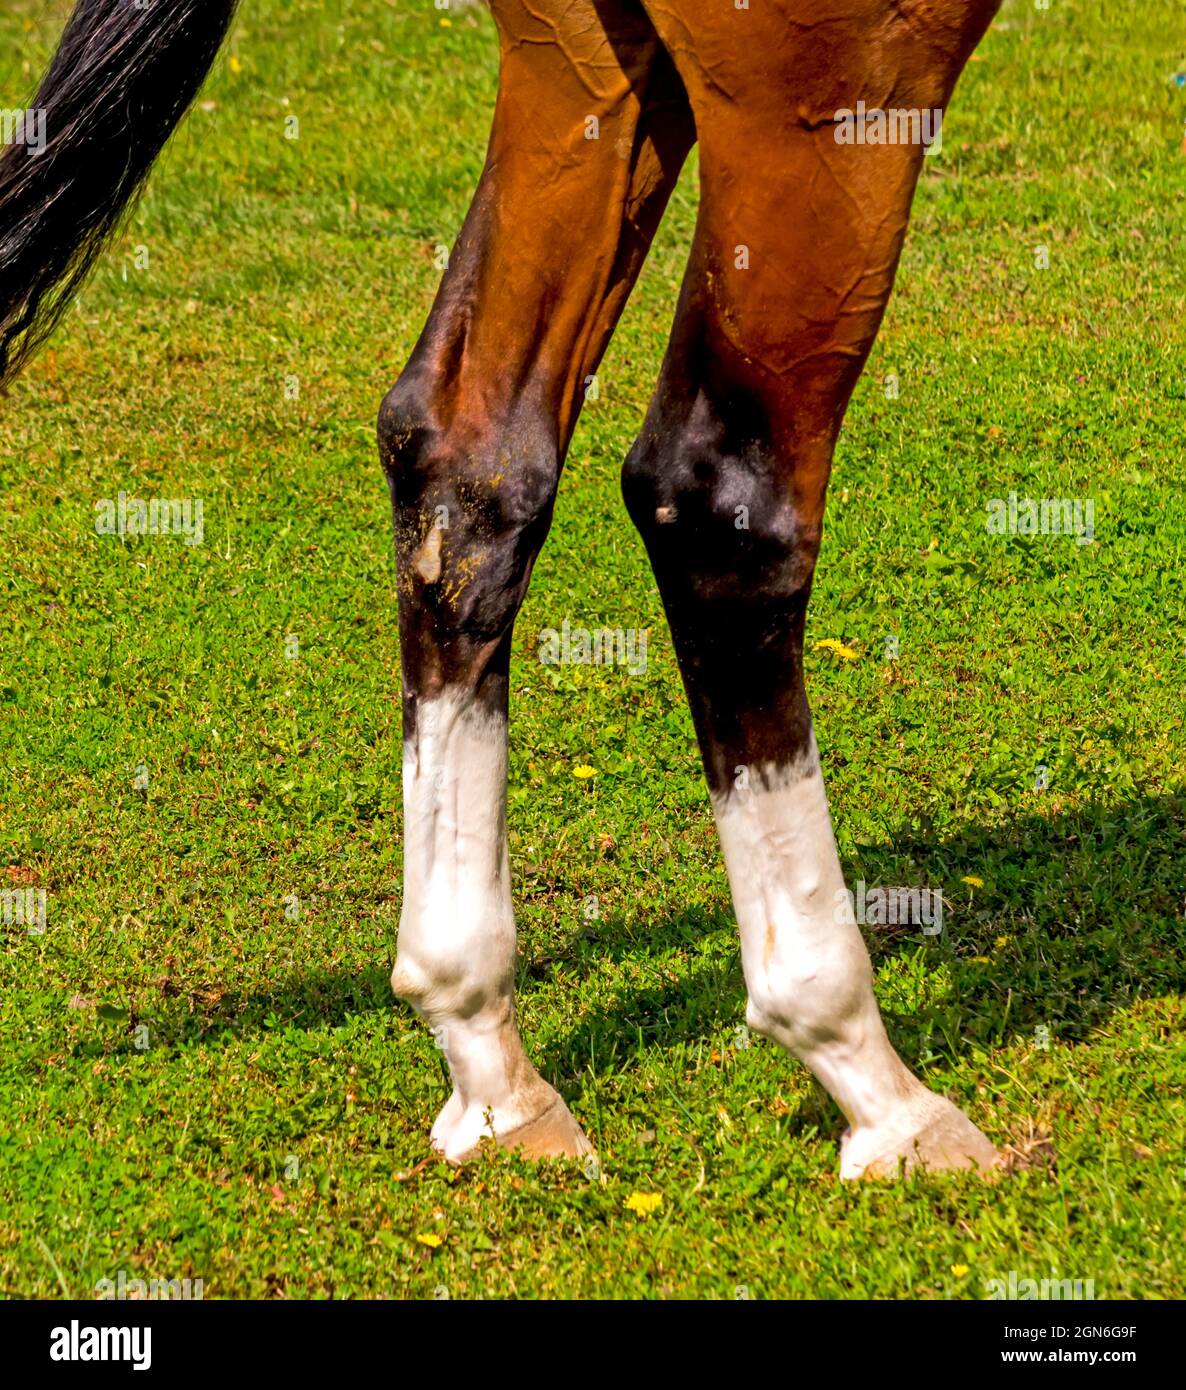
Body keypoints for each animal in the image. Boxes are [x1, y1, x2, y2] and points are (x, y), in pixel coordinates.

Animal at [0, 0, 1002, 1177]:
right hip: (821, 81)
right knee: (717, 494)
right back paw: (876, 1087)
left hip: (582, 68)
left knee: (470, 461)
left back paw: (488, 1064)